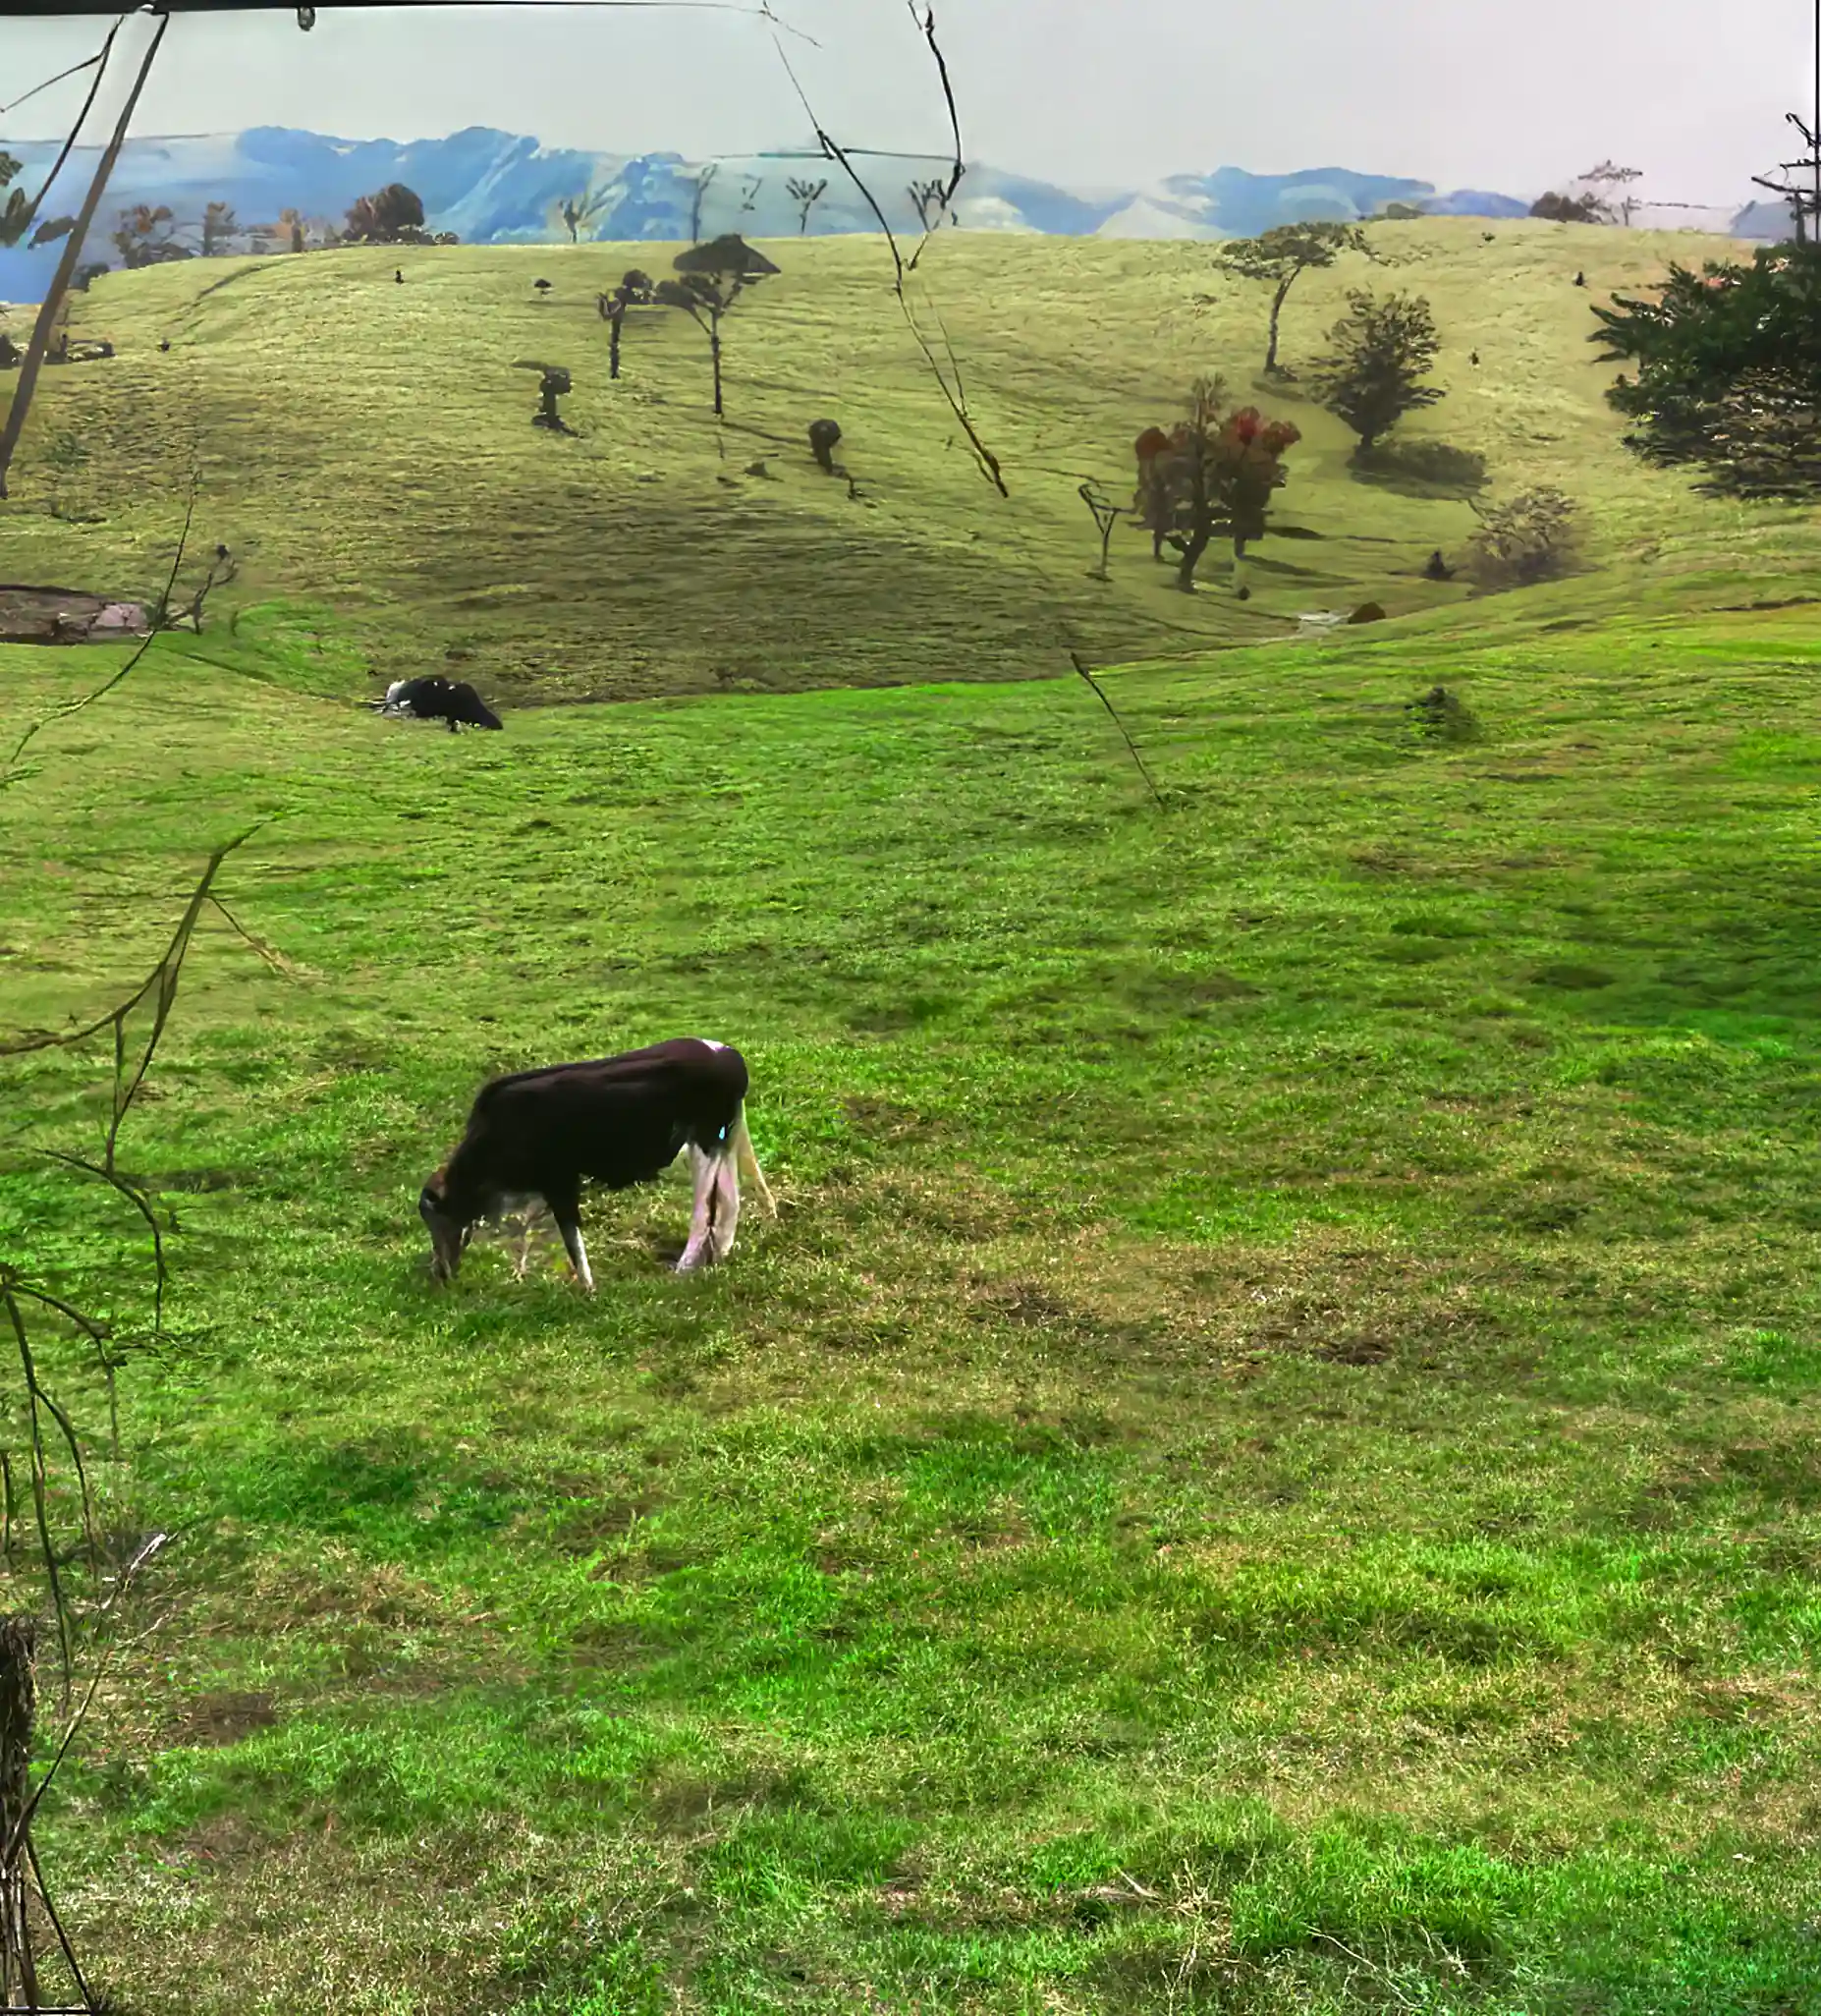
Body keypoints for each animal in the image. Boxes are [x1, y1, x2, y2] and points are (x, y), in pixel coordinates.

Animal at [418, 1038, 775, 1290]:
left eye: (437, 1218)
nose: (439, 1274)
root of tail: (730, 1056)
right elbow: (529, 1230)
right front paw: (521, 1273)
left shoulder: (560, 1179)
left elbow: (570, 1236)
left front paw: (588, 1288)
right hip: (717, 1142)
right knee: (729, 1200)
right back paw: (718, 1258)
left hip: (705, 1140)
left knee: (704, 1214)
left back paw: (682, 1270)